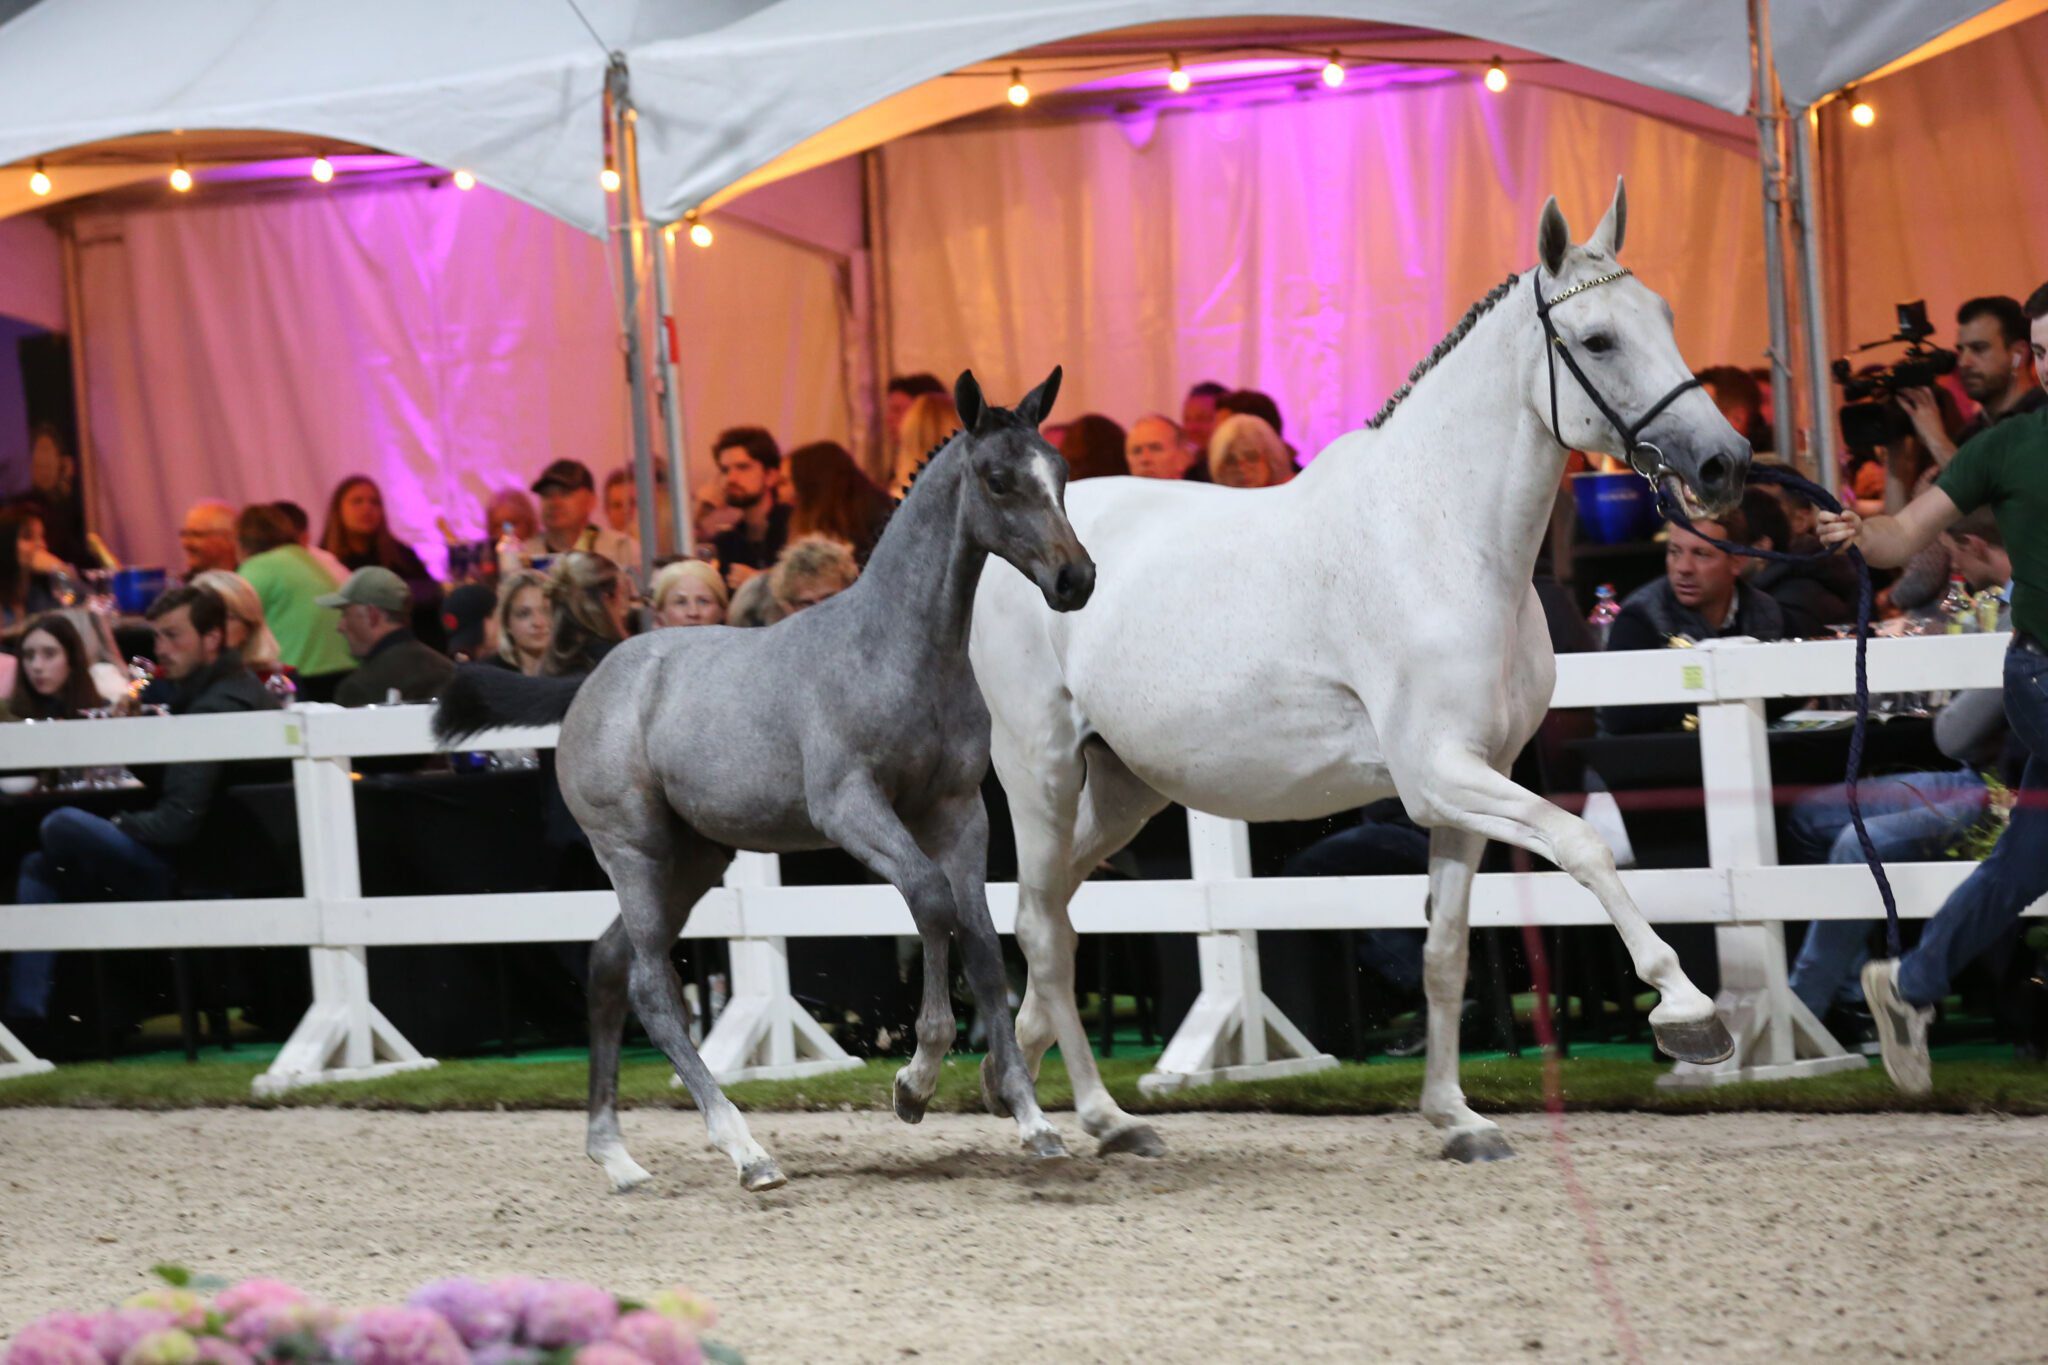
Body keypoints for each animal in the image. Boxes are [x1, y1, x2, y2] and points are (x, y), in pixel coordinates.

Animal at [435, 368, 1093, 1192]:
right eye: (998, 479)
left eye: (1059, 472)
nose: (1076, 578)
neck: (897, 651)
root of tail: (591, 679)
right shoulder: (849, 808)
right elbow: (930, 900)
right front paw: (914, 1082)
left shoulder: (956, 812)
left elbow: (978, 938)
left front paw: (1034, 1120)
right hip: (635, 850)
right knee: (652, 985)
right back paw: (745, 1150)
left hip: (692, 857)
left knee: (610, 963)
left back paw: (616, 1155)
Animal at [970, 180, 1746, 1163]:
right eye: (1600, 338)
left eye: (1666, 316)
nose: (1724, 462)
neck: (1442, 537)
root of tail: (1027, 550)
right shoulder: (1439, 773)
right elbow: (1582, 844)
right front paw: (1689, 1013)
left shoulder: (1468, 789)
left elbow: (1445, 952)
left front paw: (1458, 1117)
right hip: (1038, 771)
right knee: (1042, 926)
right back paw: (1099, 1116)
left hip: (1121, 787)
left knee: (1056, 918)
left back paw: (1014, 1070)